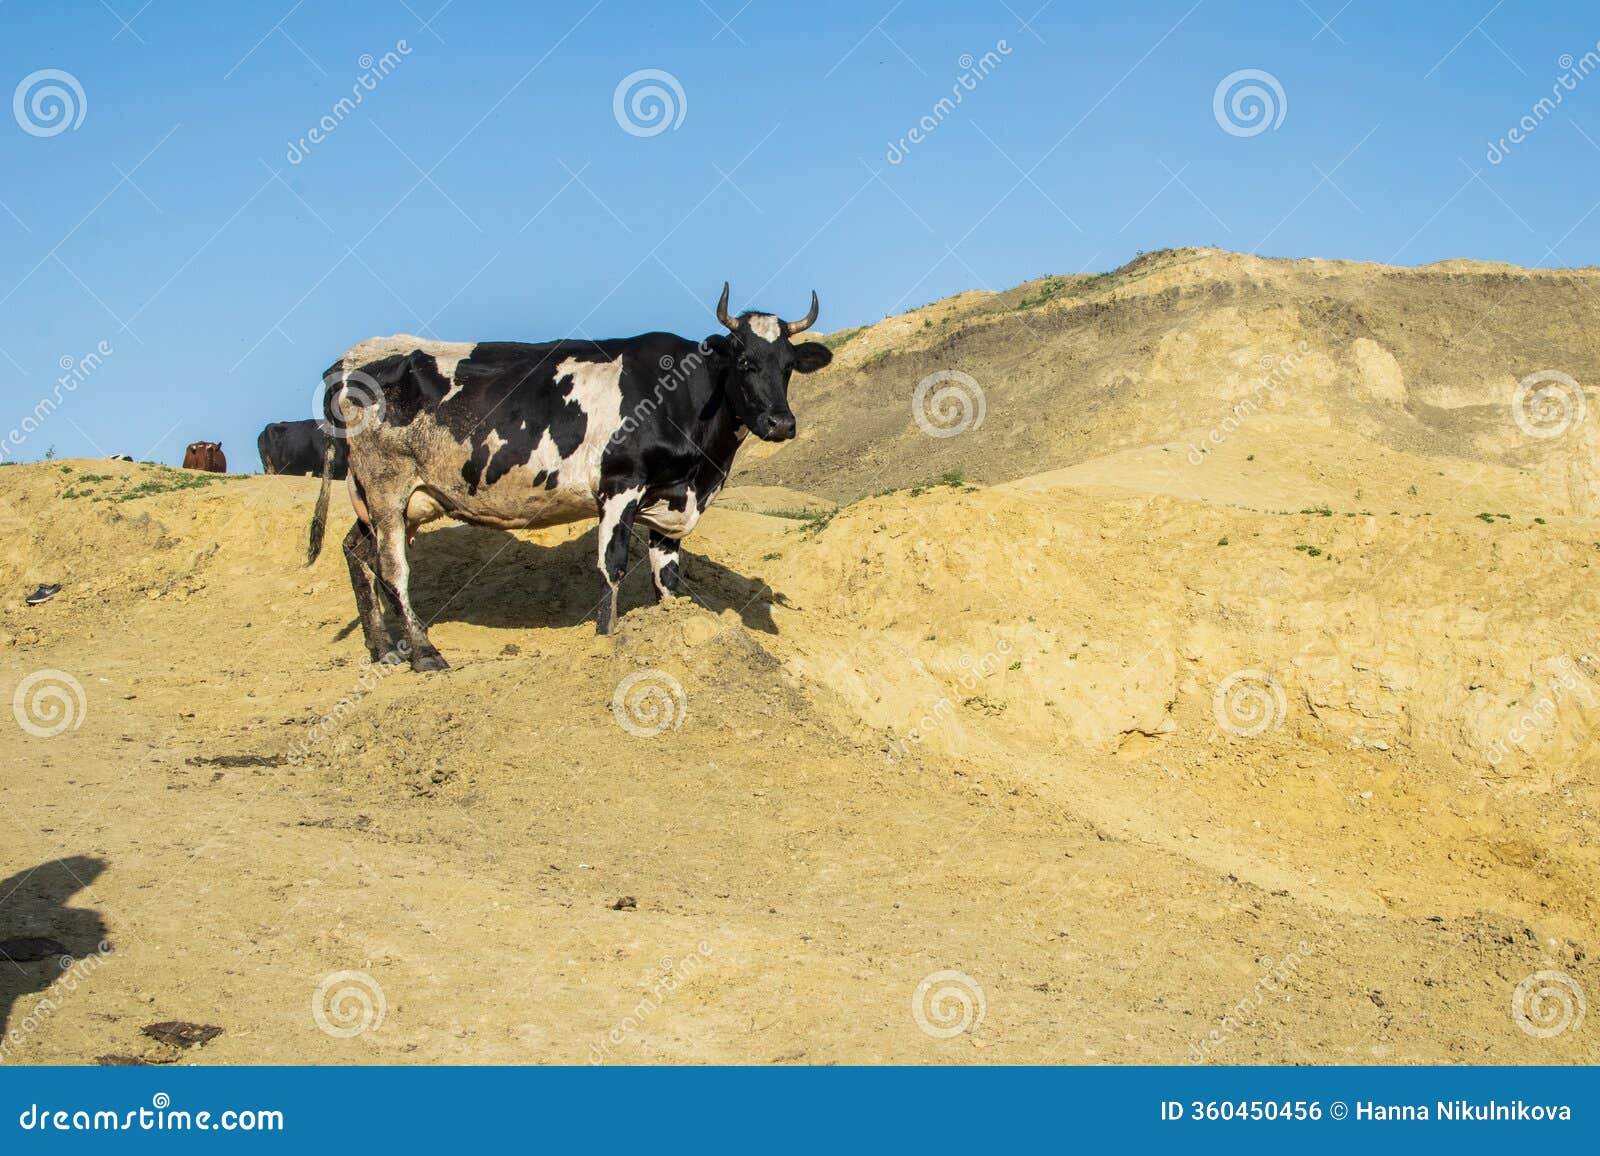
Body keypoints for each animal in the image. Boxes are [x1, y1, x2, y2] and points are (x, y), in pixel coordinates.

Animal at [305, 283, 832, 671]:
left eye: (789, 366)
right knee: (393, 567)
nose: (781, 423)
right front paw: (607, 639)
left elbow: (669, 580)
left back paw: (382, 649)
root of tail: (351, 358)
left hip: (393, 498)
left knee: (356, 551)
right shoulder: (620, 486)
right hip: (386, 487)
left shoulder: (672, 500)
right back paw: (425, 653)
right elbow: (611, 567)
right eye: (744, 362)